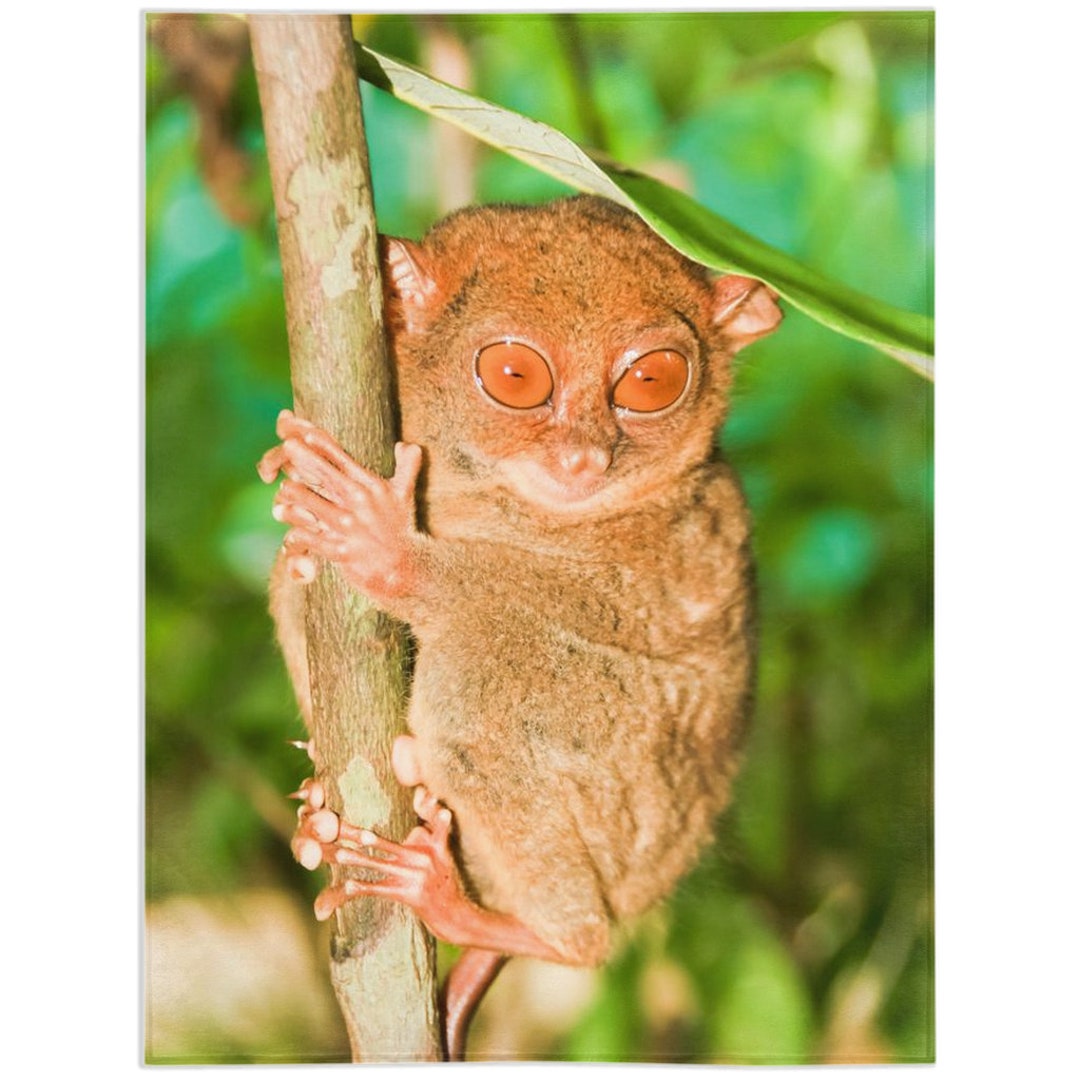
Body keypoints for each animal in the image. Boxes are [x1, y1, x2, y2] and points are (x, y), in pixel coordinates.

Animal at [257, 194, 782, 1059]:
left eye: (650, 382)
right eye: (515, 377)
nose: (583, 461)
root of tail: (647, 888)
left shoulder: (670, 550)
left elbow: (560, 600)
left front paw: (387, 549)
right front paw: (287, 474)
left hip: (627, 795)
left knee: (488, 660)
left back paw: (485, 912)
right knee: (286, 586)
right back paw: (321, 817)